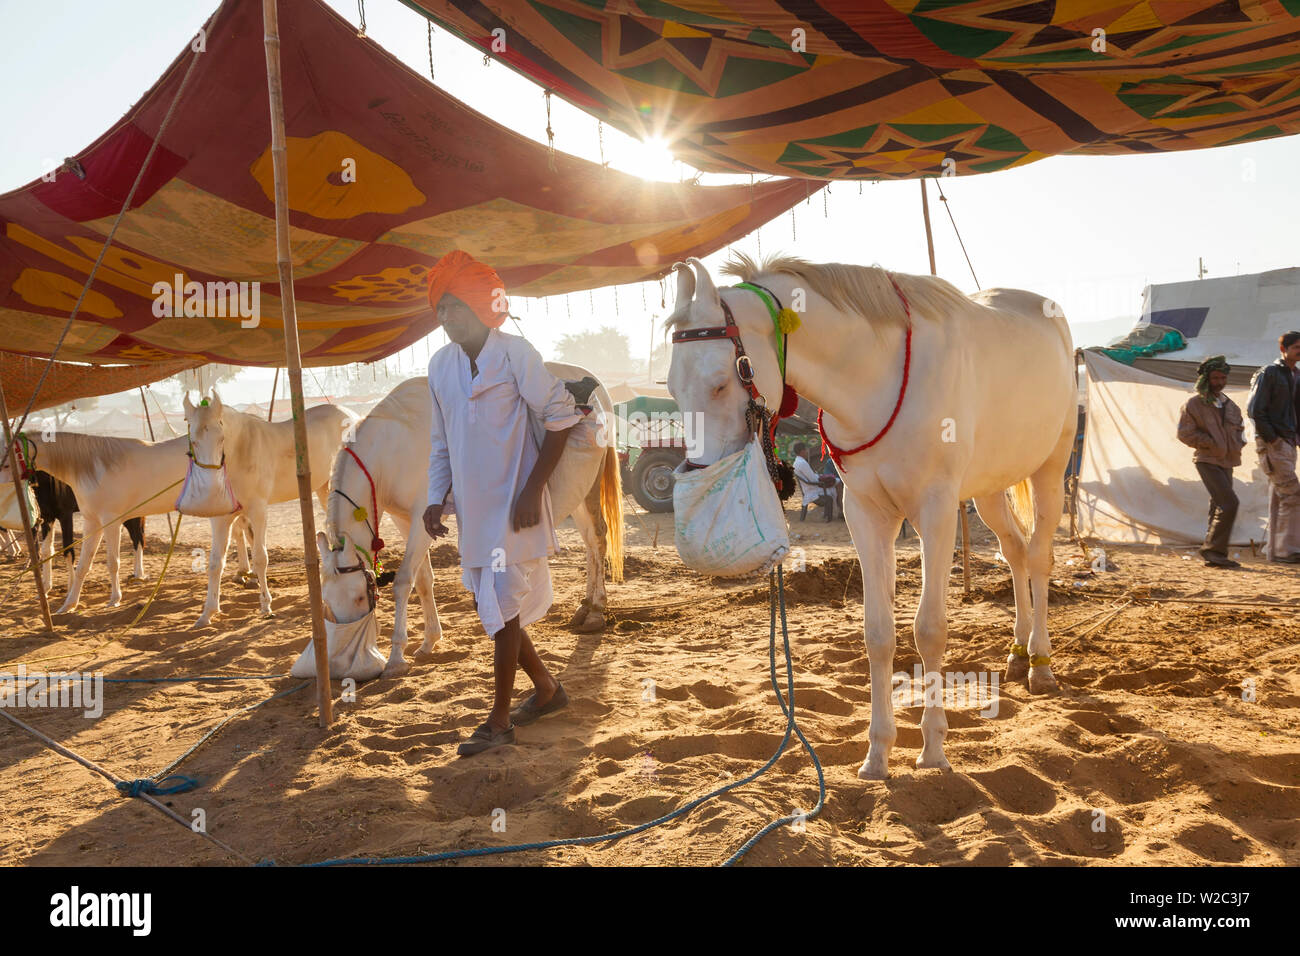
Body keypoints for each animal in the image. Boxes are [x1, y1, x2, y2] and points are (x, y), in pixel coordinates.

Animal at [182, 391, 356, 626]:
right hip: (323, 487)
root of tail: (351, 414)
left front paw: (266, 605)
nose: (210, 489)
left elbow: (260, 557)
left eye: (221, 438)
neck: (241, 452)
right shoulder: (220, 519)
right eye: (193, 440)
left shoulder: (258, 511)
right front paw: (207, 613)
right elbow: (215, 563)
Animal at [315, 365, 624, 679]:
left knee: (598, 537)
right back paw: (585, 606)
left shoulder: (423, 516)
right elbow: (423, 579)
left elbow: (403, 581)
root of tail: (599, 391)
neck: (391, 449)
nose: (345, 660)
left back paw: (596, 610)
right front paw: (429, 641)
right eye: (326, 599)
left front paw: (396, 657)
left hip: (589, 485)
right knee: (589, 543)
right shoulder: (403, 518)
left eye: (359, 597)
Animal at [665, 254, 1076, 779]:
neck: (875, 378)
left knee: (1040, 558)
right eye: (672, 388)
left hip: (1051, 469)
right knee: (1015, 553)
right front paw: (878, 751)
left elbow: (929, 629)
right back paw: (1018, 654)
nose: (700, 477)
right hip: (990, 487)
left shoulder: (936, 510)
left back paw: (1041, 662)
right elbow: (878, 633)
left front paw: (933, 748)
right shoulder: (865, 512)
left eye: (719, 382)